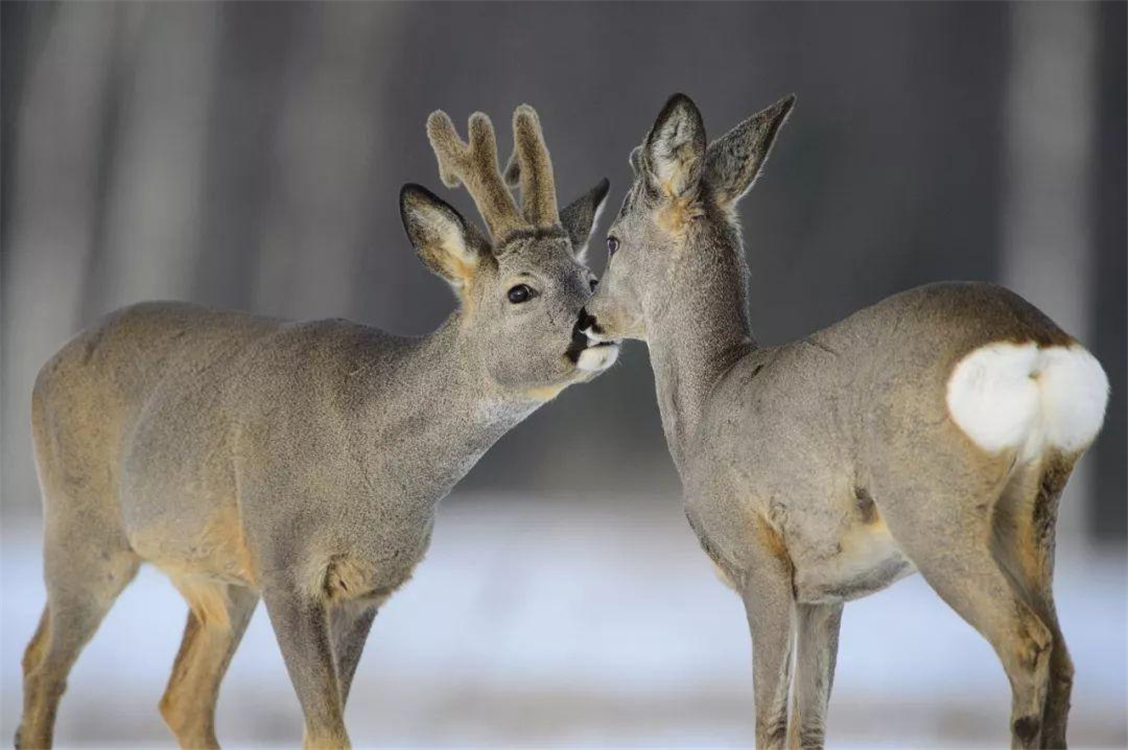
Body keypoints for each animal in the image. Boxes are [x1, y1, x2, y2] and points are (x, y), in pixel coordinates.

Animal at [16, 104, 618, 750]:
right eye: (520, 290)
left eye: (590, 279)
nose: (597, 328)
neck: (371, 460)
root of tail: (46, 367)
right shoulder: (286, 566)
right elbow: (329, 729)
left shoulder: (368, 587)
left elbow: (321, 728)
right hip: (85, 529)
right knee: (45, 667)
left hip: (216, 577)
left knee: (179, 696)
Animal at [581, 93, 1109, 750]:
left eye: (612, 242)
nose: (585, 318)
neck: (710, 397)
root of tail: (1039, 345)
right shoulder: (823, 590)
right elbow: (809, 727)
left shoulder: (762, 563)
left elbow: (770, 721)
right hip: (1032, 510)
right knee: (1063, 656)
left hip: (931, 507)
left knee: (1028, 643)